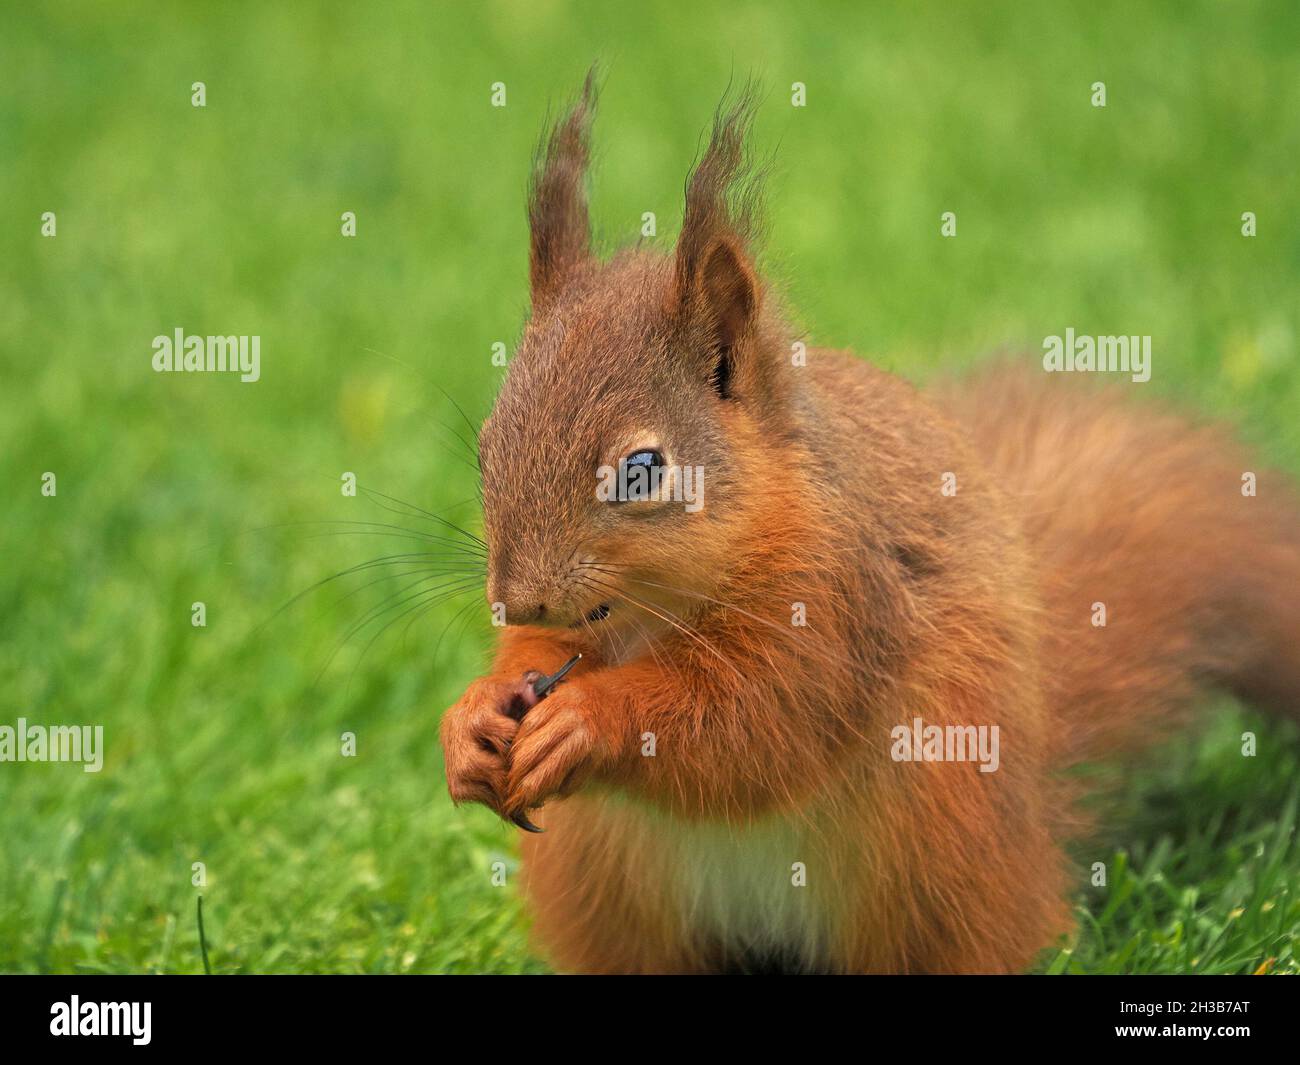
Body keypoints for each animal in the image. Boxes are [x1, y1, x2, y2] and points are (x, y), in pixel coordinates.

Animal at [439, 75, 1300, 974]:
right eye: (487, 446)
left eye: (643, 469)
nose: (520, 598)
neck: (659, 611)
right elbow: (544, 660)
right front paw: (472, 718)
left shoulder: (838, 597)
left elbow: (757, 722)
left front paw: (589, 717)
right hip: (609, 892)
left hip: (932, 857)